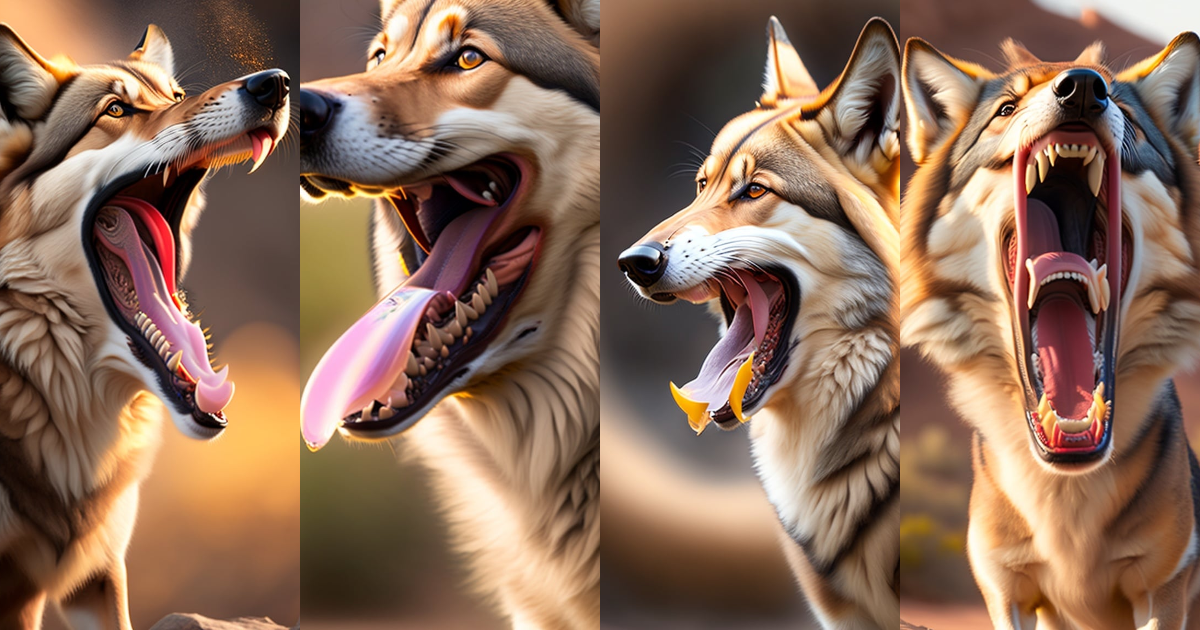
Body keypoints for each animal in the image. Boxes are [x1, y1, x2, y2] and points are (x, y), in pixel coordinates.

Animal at [901, 31, 1200, 629]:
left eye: (1127, 112)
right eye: (1006, 108)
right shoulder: (1007, 590)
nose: (1082, 88)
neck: (1068, 488)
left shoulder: (1164, 587)